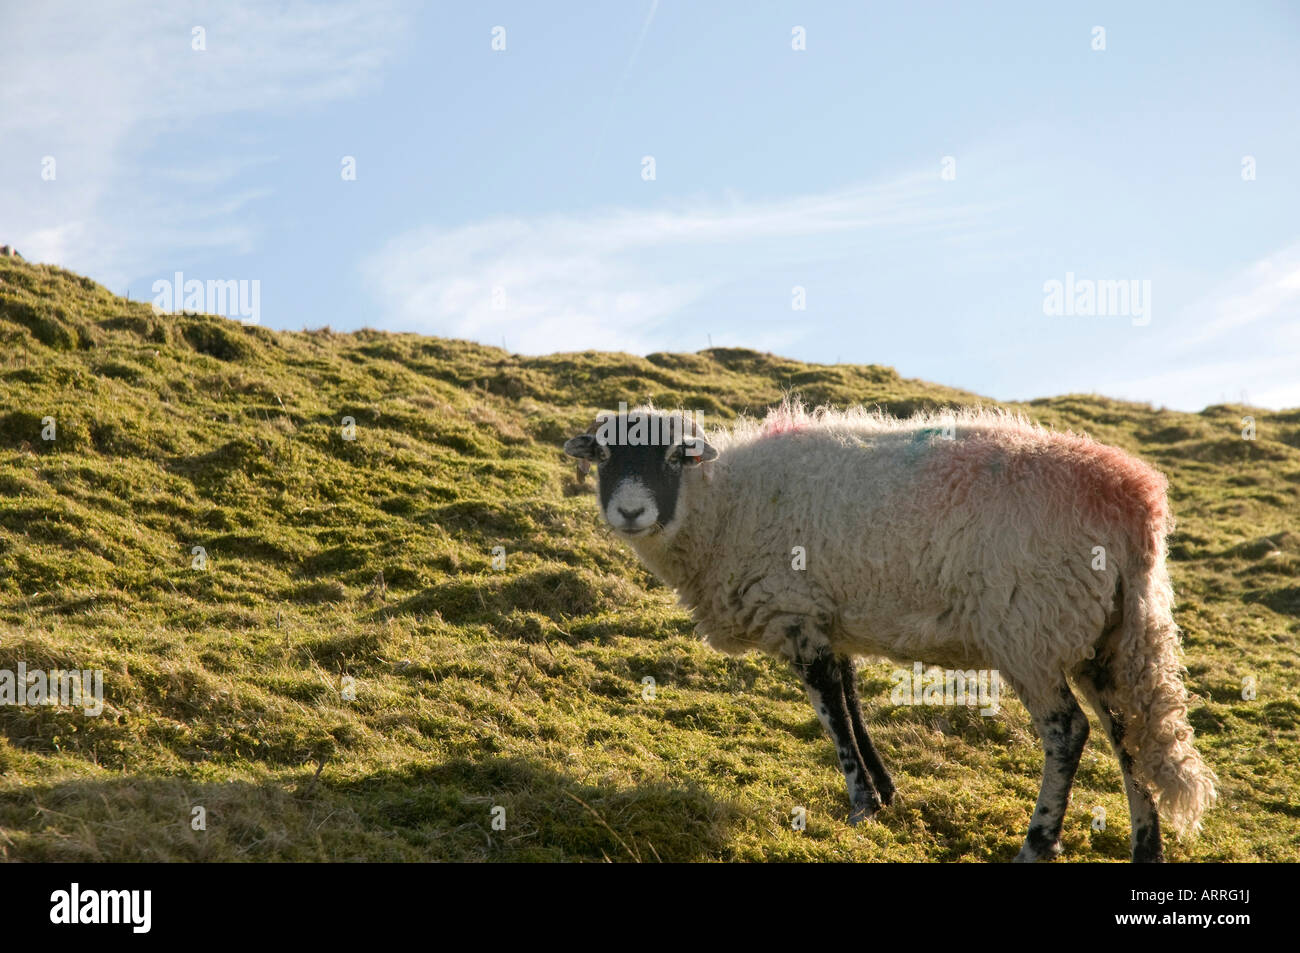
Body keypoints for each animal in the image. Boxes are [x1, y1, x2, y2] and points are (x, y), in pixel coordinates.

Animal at [564, 400, 1217, 862]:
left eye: (674, 457)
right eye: (604, 456)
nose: (630, 512)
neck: (723, 507)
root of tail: (1136, 506)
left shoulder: (795, 610)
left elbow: (830, 710)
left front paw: (861, 806)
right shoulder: (828, 617)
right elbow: (851, 698)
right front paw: (885, 792)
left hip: (1030, 630)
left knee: (1069, 732)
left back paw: (1036, 844)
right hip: (1106, 636)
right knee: (1127, 736)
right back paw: (1146, 849)